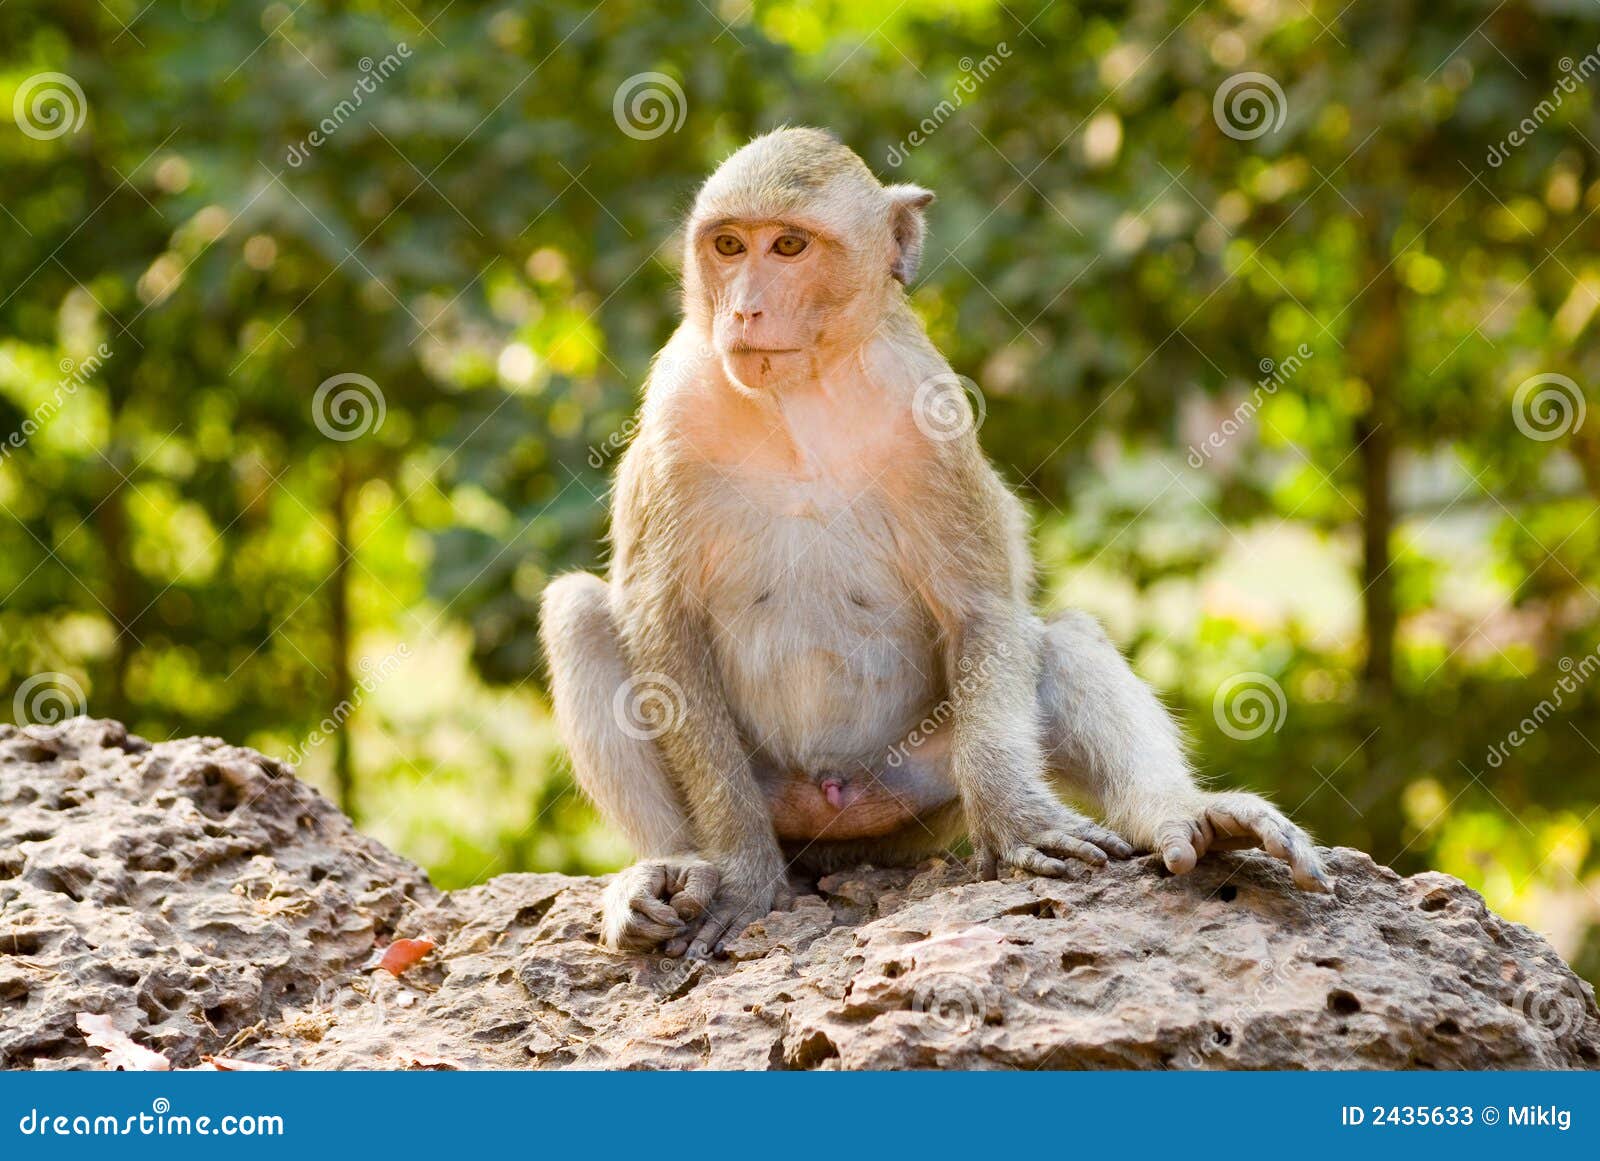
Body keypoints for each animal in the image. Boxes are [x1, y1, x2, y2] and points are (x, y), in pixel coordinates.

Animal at [539, 127, 1330, 959]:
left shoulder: (934, 406)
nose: (746, 310)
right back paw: (671, 863)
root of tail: (834, 810)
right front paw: (741, 872)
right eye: (728, 245)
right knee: (579, 612)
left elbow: (981, 606)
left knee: (1059, 638)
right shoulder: (674, 406)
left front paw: (1017, 822)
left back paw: (1183, 814)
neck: (801, 401)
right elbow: (663, 626)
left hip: (915, 799)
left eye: (788, 245)